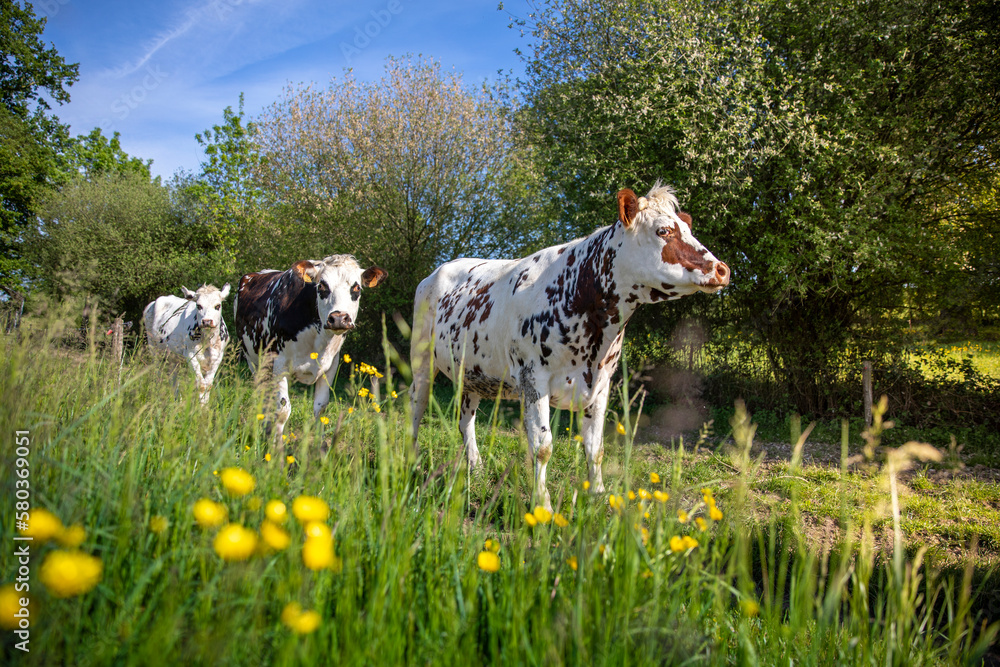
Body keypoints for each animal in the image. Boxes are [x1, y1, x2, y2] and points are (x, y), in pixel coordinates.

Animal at [234, 255, 387, 452]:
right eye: (321, 286)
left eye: (356, 288)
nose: (339, 318)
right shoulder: (279, 364)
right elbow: (282, 410)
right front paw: (276, 451)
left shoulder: (330, 365)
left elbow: (320, 407)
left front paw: (321, 449)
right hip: (254, 362)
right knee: (262, 396)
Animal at [410, 183, 730, 510]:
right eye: (664, 230)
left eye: (688, 229)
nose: (722, 269)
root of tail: (438, 270)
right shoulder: (533, 379)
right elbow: (542, 447)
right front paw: (542, 505)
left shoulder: (601, 383)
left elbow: (595, 446)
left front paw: (598, 495)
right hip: (421, 358)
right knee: (416, 404)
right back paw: (410, 461)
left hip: (471, 371)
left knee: (466, 418)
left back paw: (475, 466)